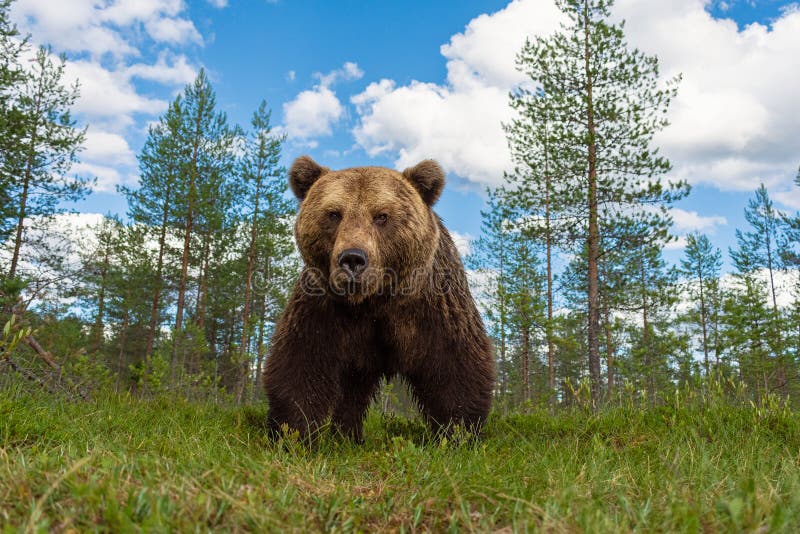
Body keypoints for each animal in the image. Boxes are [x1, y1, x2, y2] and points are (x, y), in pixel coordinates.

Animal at [263, 156, 496, 442]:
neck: (376, 301)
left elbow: (456, 366)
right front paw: (294, 433)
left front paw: (458, 434)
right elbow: (301, 363)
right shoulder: (324, 309)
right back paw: (347, 436)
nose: (353, 259)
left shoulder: (433, 306)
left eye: (382, 216)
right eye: (333, 214)